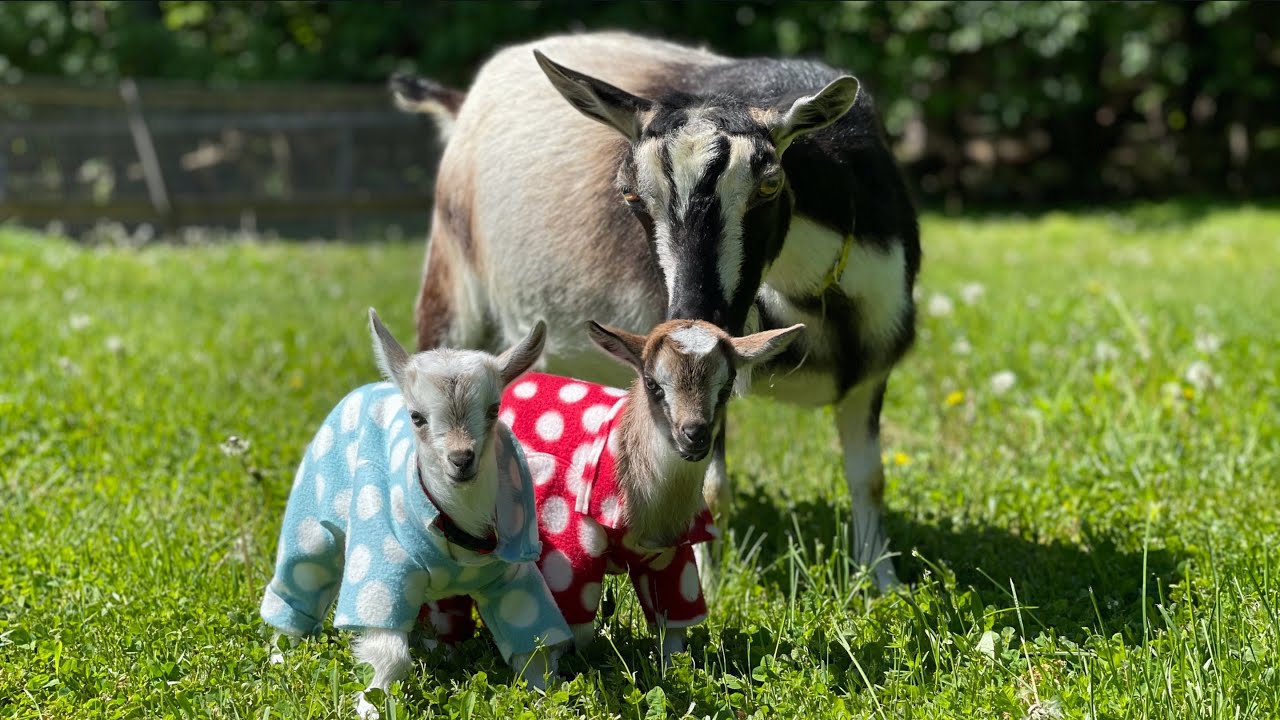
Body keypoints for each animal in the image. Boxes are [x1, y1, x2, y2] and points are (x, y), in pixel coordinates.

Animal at [261, 310, 571, 719]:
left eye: (494, 409)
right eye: (417, 417)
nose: (461, 459)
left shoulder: (513, 578)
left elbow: (532, 645)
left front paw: (544, 699)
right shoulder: (380, 568)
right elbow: (389, 652)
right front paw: (372, 706)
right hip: (312, 516)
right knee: (301, 574)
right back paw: (281, 655)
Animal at [391, 31, 920, 591]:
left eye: (769, 185)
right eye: (630, 196)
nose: (693, 319)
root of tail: (462, 103)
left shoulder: (870, 365)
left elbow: (870, 480)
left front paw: (884, 585)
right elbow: (709, 489)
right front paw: (710, 586)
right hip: (452, 282)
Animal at [425, 319, 804, 660]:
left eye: (726, 387)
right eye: (653, 384)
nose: (694, 435)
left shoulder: (672, 553)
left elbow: (674, 625)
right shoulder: (572, 548)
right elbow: (576, 625)